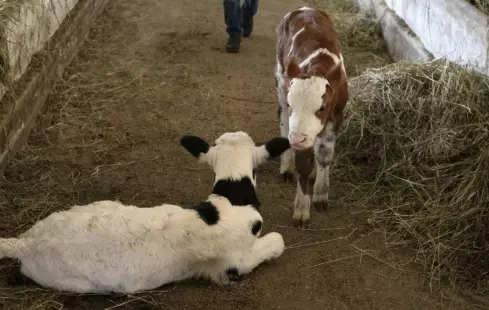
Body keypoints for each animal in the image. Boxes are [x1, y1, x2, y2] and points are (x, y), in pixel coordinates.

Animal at [274, 6, 346, 228]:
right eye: (292, 104)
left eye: (322, 107)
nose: (297, 139)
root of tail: (306, 8)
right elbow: (303, 165)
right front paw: (302, 209)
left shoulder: (336, 115)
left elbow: (325, 153)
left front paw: (321, 194)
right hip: (280, 81)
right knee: (283, 122)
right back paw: (286, 167)